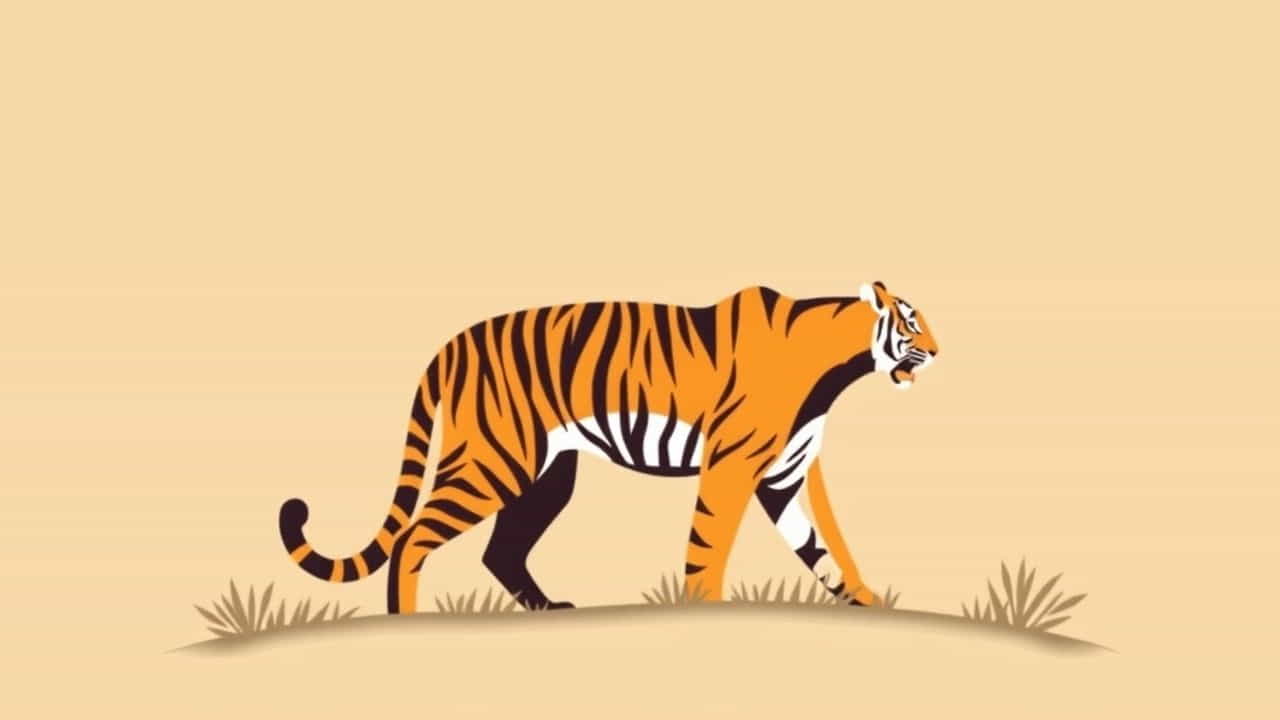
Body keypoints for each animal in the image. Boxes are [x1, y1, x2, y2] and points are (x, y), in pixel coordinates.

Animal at [278, 282, 938, 613]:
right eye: (910, 322)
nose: (936, 350)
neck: (834, 370)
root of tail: (451, 344)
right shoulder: (732, 465)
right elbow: (708, 543)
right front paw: (702, 609)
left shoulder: (788, 474)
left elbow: (824, 545)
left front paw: (865, 601)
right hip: (495, 462)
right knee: (413, 537)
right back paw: (407, 619)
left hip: (546, 475)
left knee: (501, 550)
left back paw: (549, 608)